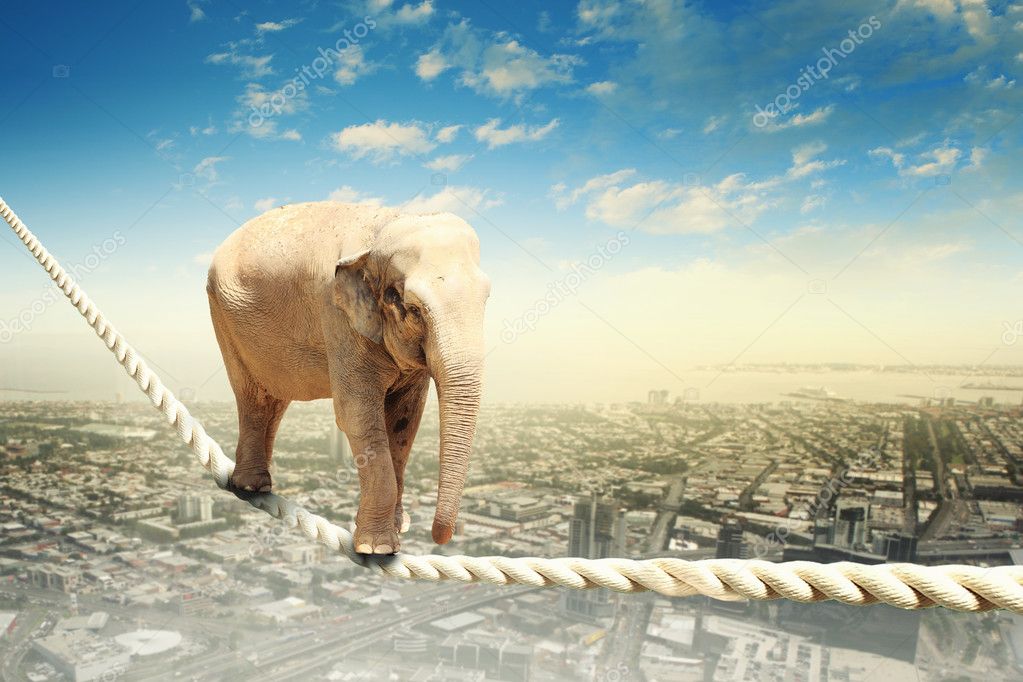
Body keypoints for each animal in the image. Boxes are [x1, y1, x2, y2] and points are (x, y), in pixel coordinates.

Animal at [206, 201, 490, 554]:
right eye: (414, 309)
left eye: (487, 299)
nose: (439, 536)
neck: (388, 221)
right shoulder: (337, 316)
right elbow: (357, 414)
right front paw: (377, 549)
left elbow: (404, 420)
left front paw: (399, 528)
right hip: (223, 317)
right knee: (252, 395)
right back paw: (250, 487)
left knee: (275, 398)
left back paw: (257, 486)